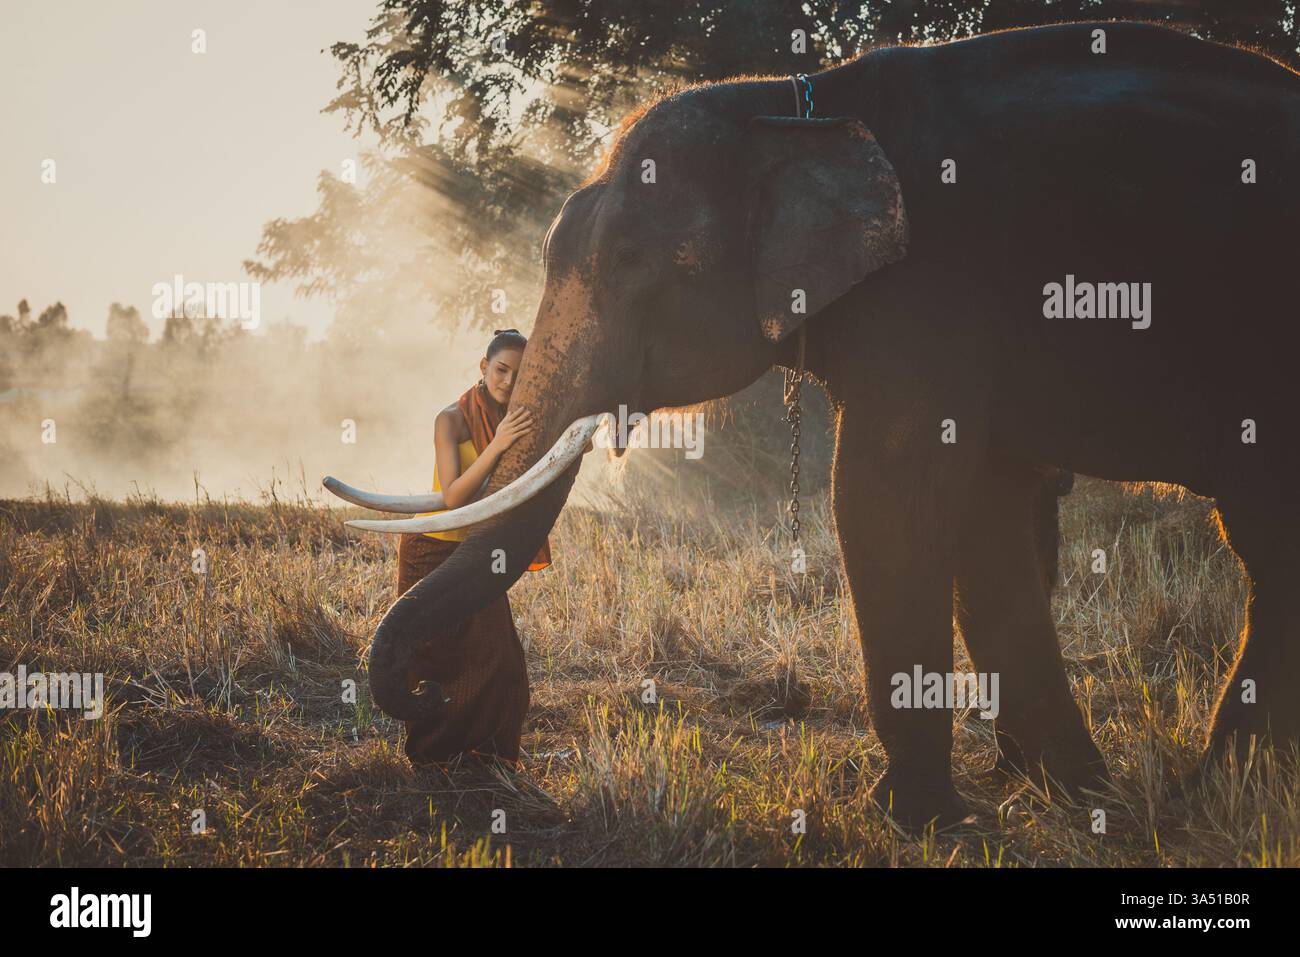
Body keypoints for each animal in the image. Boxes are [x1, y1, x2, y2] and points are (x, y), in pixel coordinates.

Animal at [331, 21, 1300, 828]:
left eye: (635, 260)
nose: (427, 694)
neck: (796, 104)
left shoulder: (929, 293)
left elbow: (885, 501)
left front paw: (920, 822)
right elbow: (985, 524)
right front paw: (1073, 796)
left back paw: (1219, 792)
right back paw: (1221, 790)